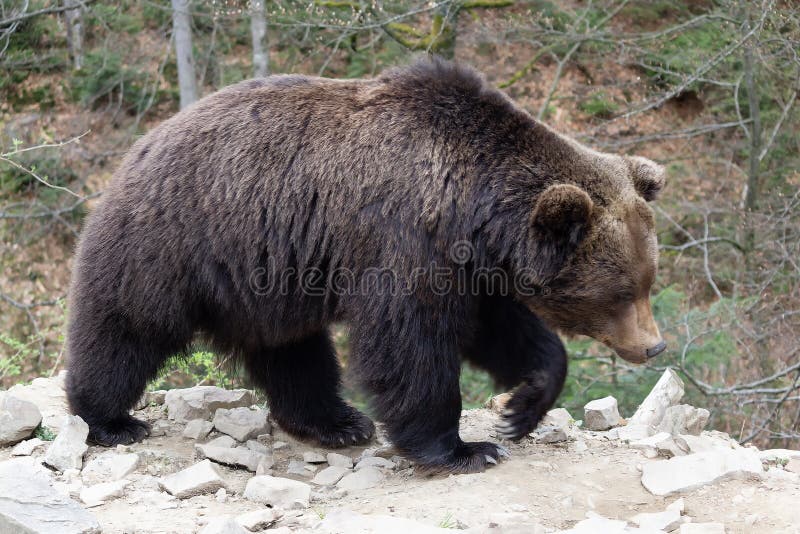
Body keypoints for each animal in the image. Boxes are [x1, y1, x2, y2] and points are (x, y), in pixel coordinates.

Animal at [66, 58, 666, 473]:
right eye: (620, 292)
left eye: (647, 282)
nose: (654, 346)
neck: (471, 210)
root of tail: (136, 150)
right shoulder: (403, 239)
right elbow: (410, 344)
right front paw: (465, 448)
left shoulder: (471, 266)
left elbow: (502, 330)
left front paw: (523, 405)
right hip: (174, 243)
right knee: (128, 328)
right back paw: (110, 419)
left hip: (265, 275)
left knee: (292, 350)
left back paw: (336, 422)